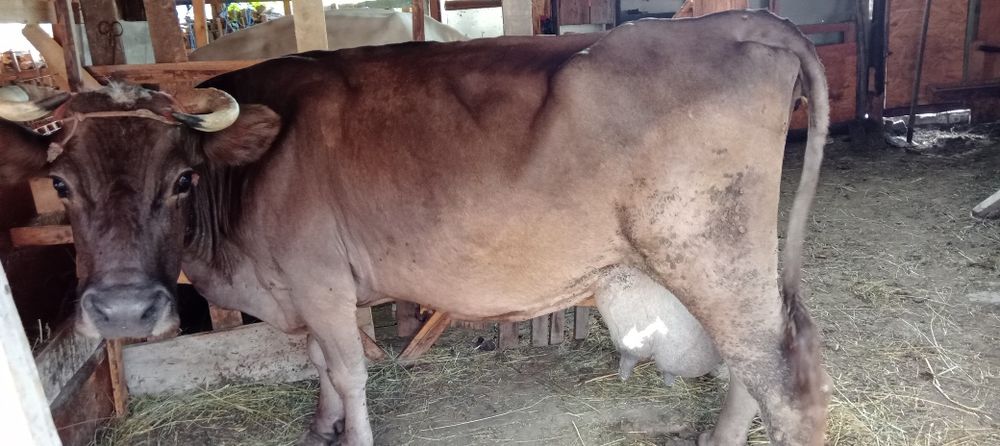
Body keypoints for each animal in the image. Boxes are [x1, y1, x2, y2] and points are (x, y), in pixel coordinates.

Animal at [0, 11, 830, 446]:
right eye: (62, 183)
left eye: (181, 178)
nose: (122, 310)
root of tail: (743, 22)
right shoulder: (304, 296)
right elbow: (320, 368)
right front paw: (319, 428)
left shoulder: (323, 285)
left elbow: (350, 372)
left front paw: (350, 432)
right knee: (759, 359)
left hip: (710, 253)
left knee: (783, 373)